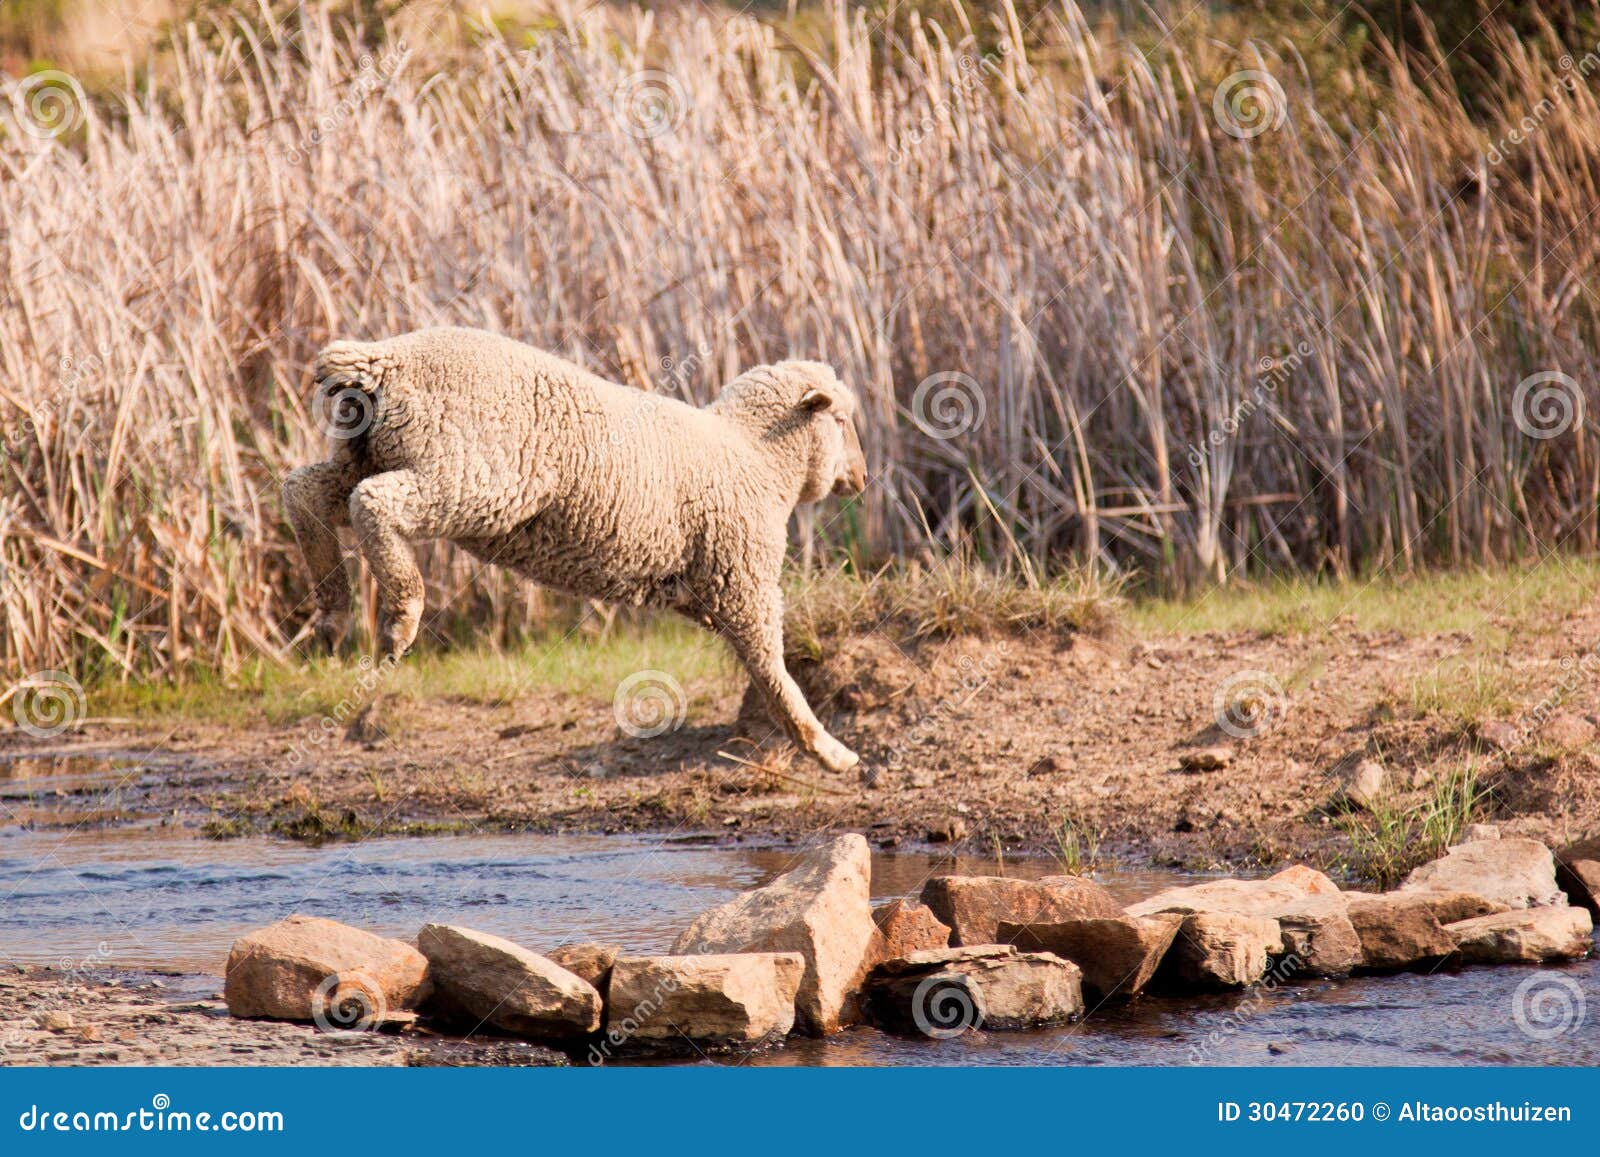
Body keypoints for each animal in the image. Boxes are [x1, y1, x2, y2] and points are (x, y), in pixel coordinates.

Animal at [281, 326, 868, 773]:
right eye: (841, 420)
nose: (862, 478)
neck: (755, 454)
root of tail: (385, 359)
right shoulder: (744, 578)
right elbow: (773, 672)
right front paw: (829, 751)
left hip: (365, 453)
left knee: (303, 492)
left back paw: (332, 609)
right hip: (466, 475)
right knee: (372, 503)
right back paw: (401, 614)